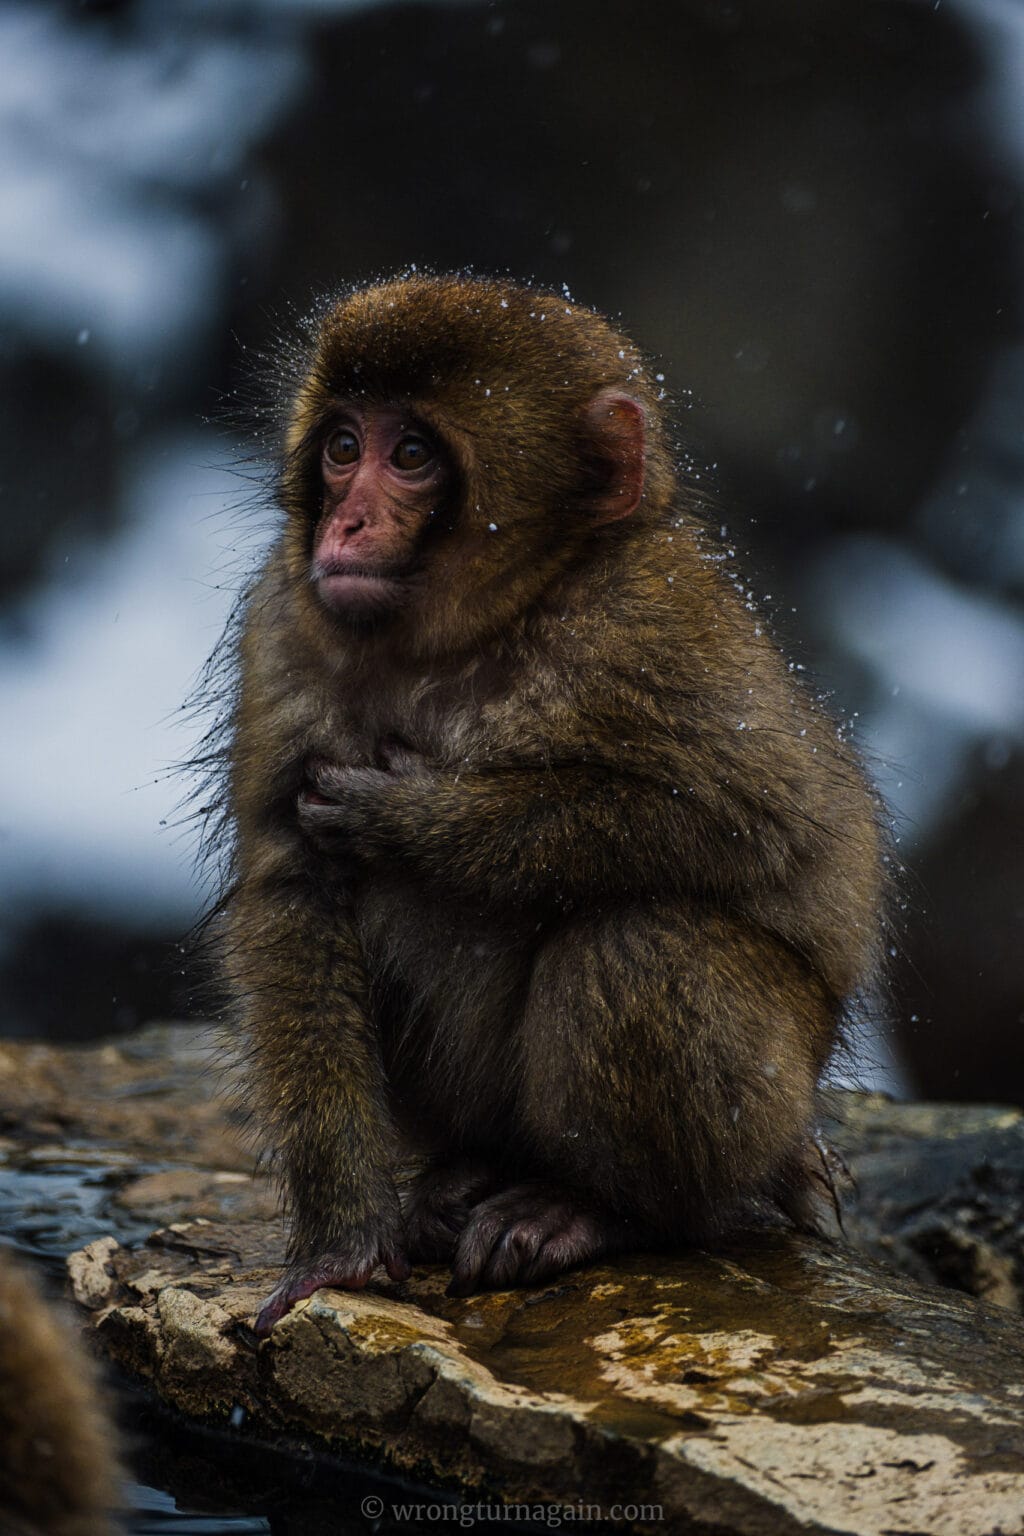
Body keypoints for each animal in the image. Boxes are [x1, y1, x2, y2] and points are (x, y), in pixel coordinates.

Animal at [209, 274, 883, 1336]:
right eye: (342, 447)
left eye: (410, 457)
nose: (341, 527)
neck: (467, 634)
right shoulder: (282, 628)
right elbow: (293, 897)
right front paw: (343, 1244)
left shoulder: (650, 623)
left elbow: (776, 824)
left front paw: (415, 817)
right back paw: (462, 1180)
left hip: (772, 1109)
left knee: (647, 941)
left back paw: (603, 1209)